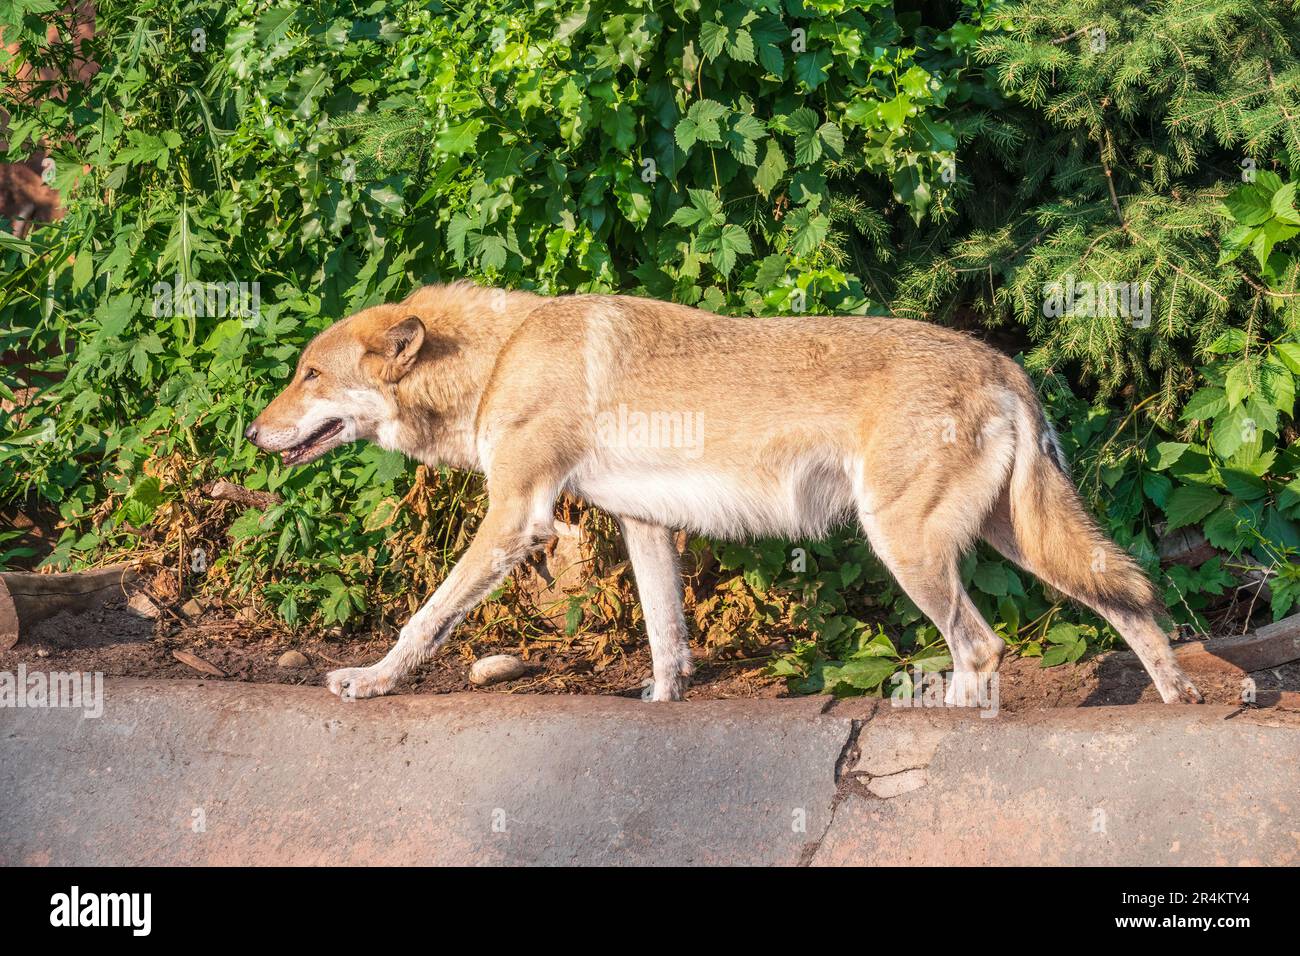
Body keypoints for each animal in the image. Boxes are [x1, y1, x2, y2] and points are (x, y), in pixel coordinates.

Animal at [246, 283, 1202, 706]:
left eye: (307, 376)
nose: (253, 435)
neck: (500, 354)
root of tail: (1005, 366)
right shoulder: (642, 525)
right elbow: (667, 638)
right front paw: (662, 703)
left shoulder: (516, 519)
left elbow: (425, 620)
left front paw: (369, 680)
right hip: (1017, 541)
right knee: (1129, 605)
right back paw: (1176, 696)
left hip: (909, 550)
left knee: (983, 648)